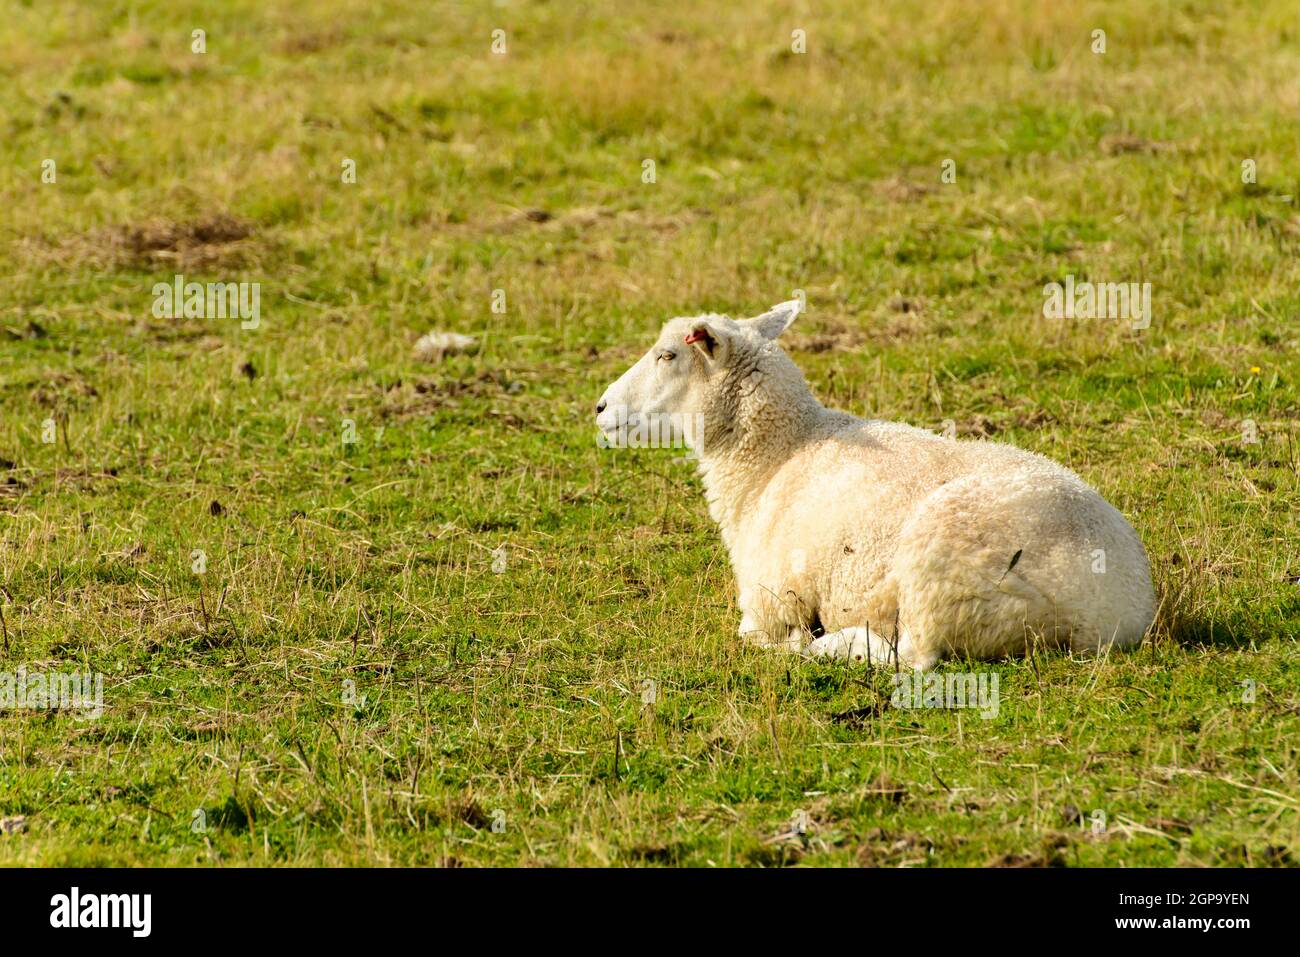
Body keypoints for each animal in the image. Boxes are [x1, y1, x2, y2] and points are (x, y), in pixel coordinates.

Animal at [595, 300, 1156, 668]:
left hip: (938, 564)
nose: (600, 408)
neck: (778, 455)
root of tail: (1109, 613)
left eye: (668, 355)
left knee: (909, 658)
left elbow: (756, 637)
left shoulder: (770, 601)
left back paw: (831, 646)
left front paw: (802, 642)